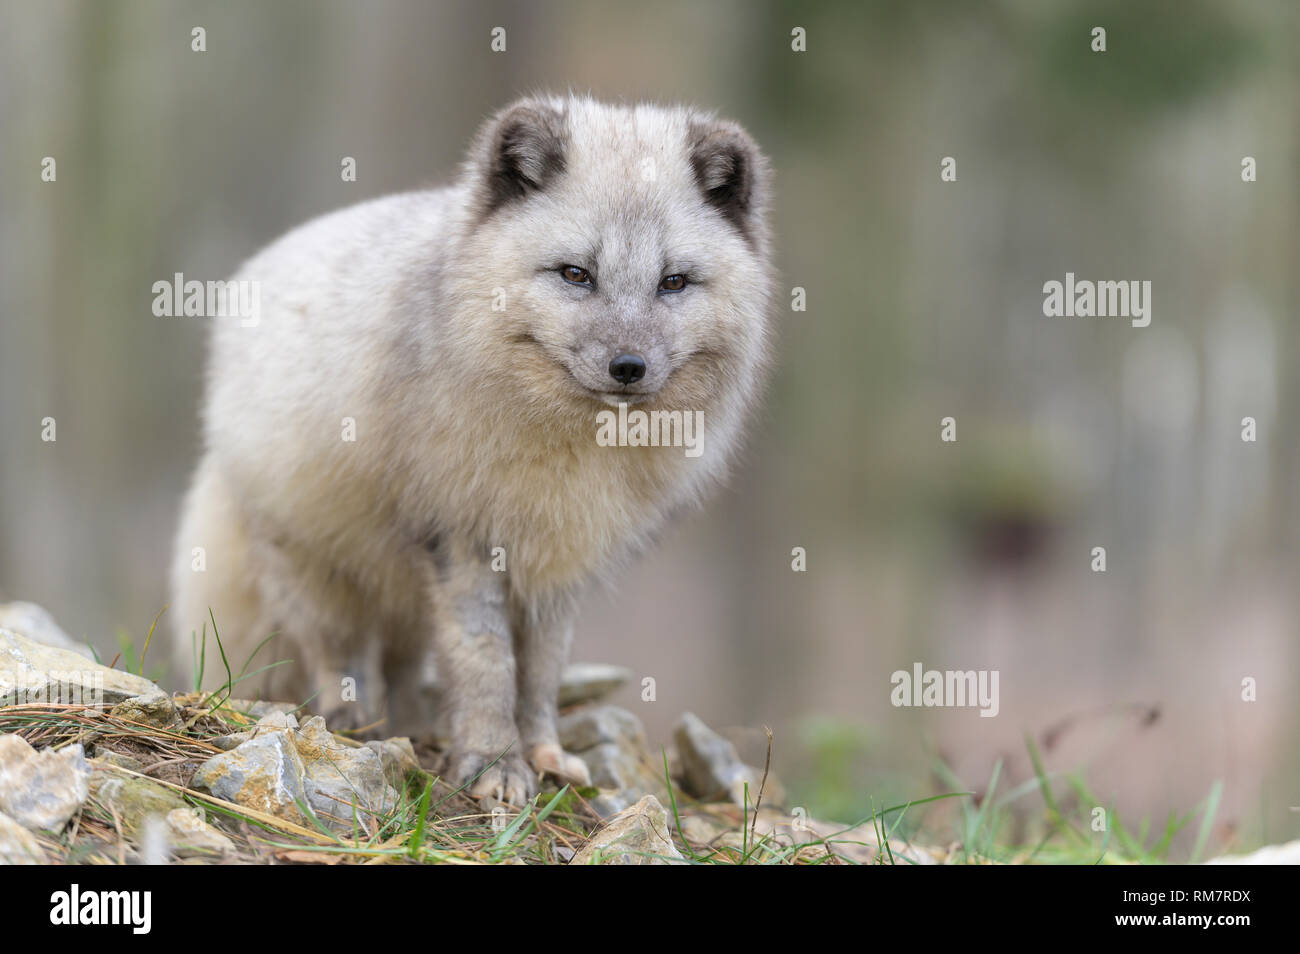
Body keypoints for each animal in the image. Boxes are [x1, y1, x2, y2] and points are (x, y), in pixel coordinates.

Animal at [170, 94, 774, 804]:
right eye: (576, 274)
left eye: (674, 282)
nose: (629, 367)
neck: (570, 451)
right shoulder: (461, 537)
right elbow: (487, 662)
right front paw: (493, 763)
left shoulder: (561, 561)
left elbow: (539, 672)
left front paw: (541, 753)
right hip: (314, 563)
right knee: (340, 653)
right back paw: (353, 720)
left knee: (403, 663)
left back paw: (410, 723)